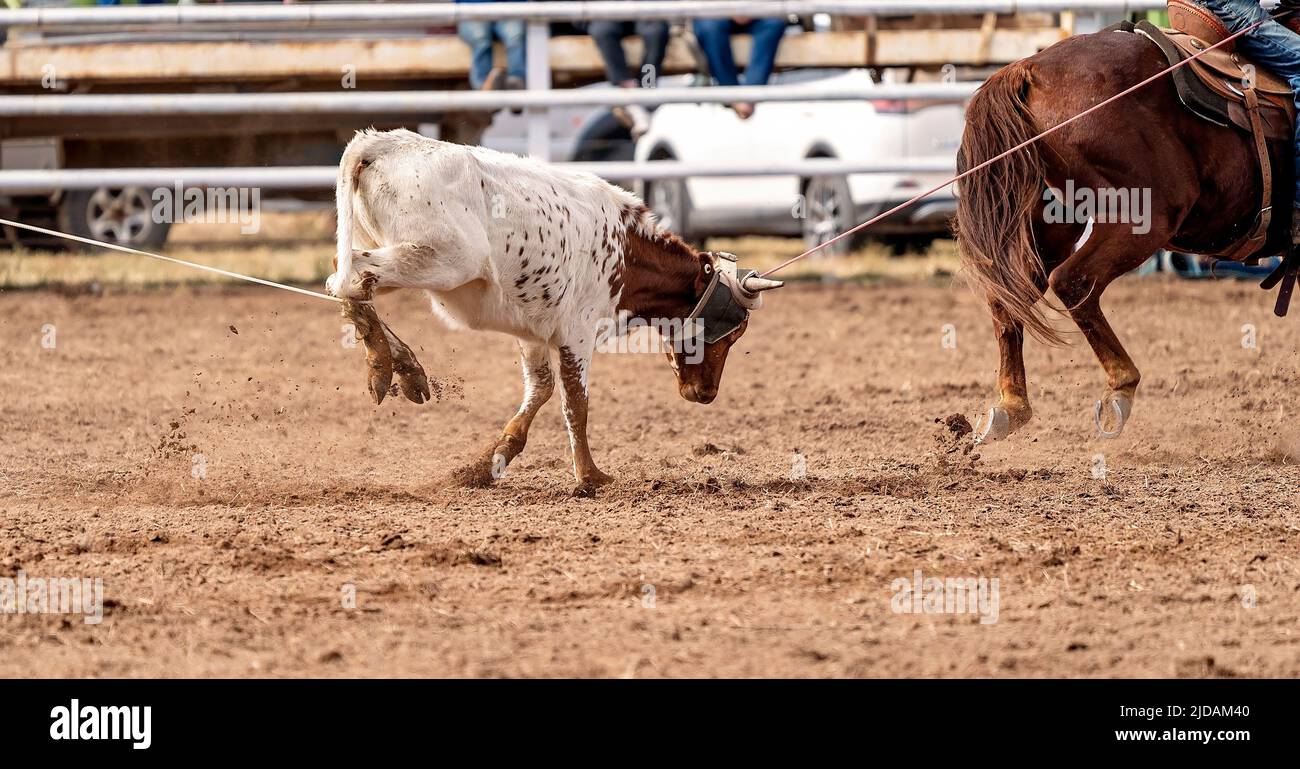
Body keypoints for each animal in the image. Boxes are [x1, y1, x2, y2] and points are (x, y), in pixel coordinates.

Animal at [325, 129, 783, 495]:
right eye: (732, 332)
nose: (705, 394)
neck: (623, 251)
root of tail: (380, 143)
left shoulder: (533, 332)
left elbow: (541, 389)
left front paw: (490, 463)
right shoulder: (577, 332)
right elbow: (576, 403)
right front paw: (589, 476)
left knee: (346, 277)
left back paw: (405, 367)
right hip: (441, 260)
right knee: (351, 279)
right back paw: (384, 364)